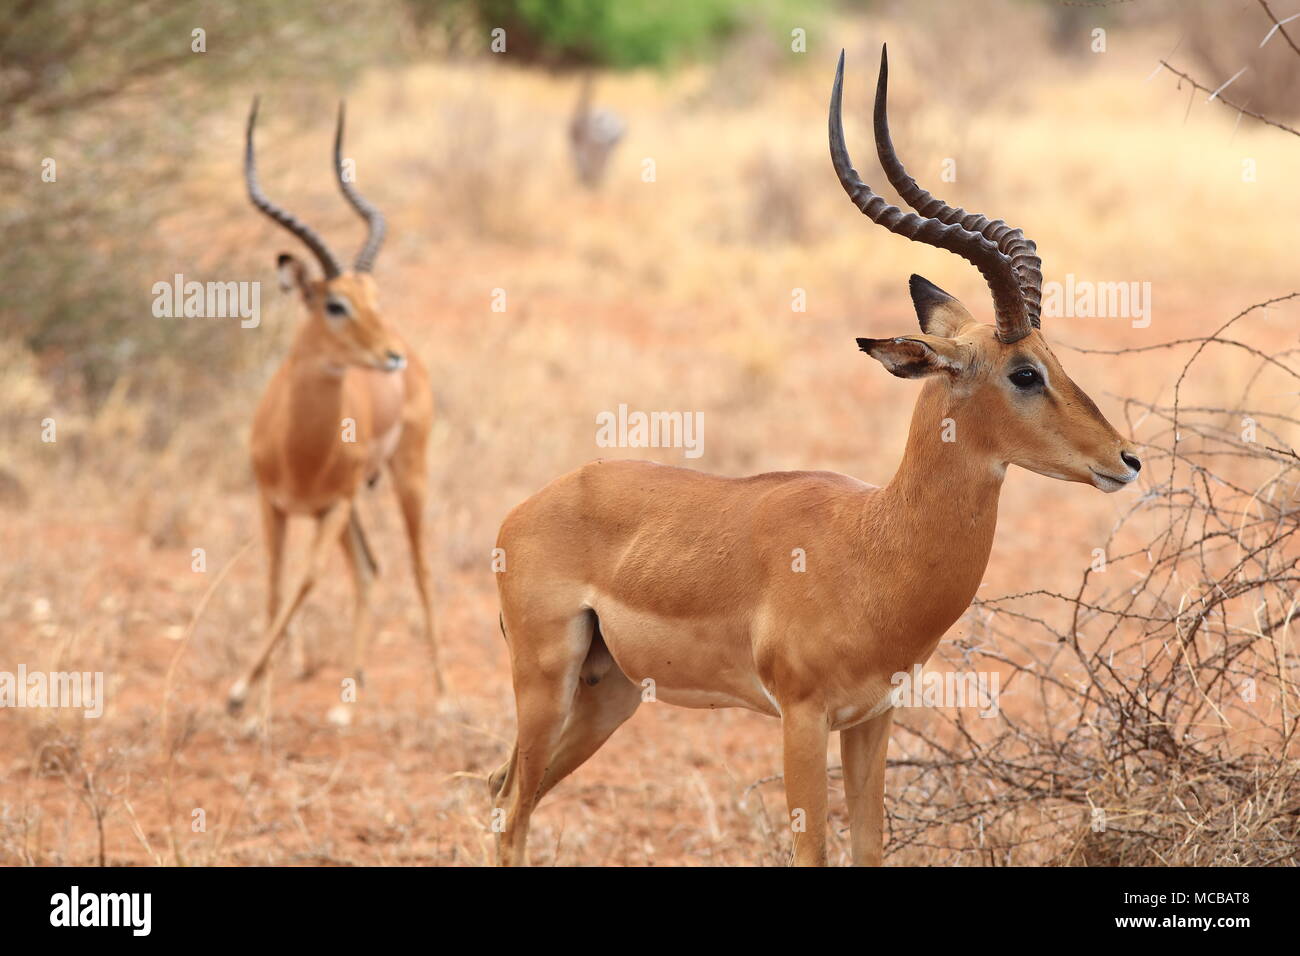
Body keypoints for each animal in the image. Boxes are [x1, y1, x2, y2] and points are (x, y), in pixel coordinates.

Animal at [226, 99, 443, 718]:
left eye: (375, 298)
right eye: (335, 303)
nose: (390, 355)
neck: (297, 448)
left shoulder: (333, 507)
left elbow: (305, 581)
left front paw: (240, 694)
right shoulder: (273, 504)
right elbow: (275, 588)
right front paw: (255, 706)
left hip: (401, 479)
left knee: (417, 567)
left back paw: (439, 695)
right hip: (349, 507)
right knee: (369, 569)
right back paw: (353, 683)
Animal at [488, 46, 1142, 866]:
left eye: (1055, 357)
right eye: (1025, 372)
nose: (1126, 457)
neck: (872, 546)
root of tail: (527, 508)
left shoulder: (872, 717)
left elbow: (869, 846)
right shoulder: (802, 718)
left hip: (610, 692)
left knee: (504, 794)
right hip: (546, 681)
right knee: (511, 810)